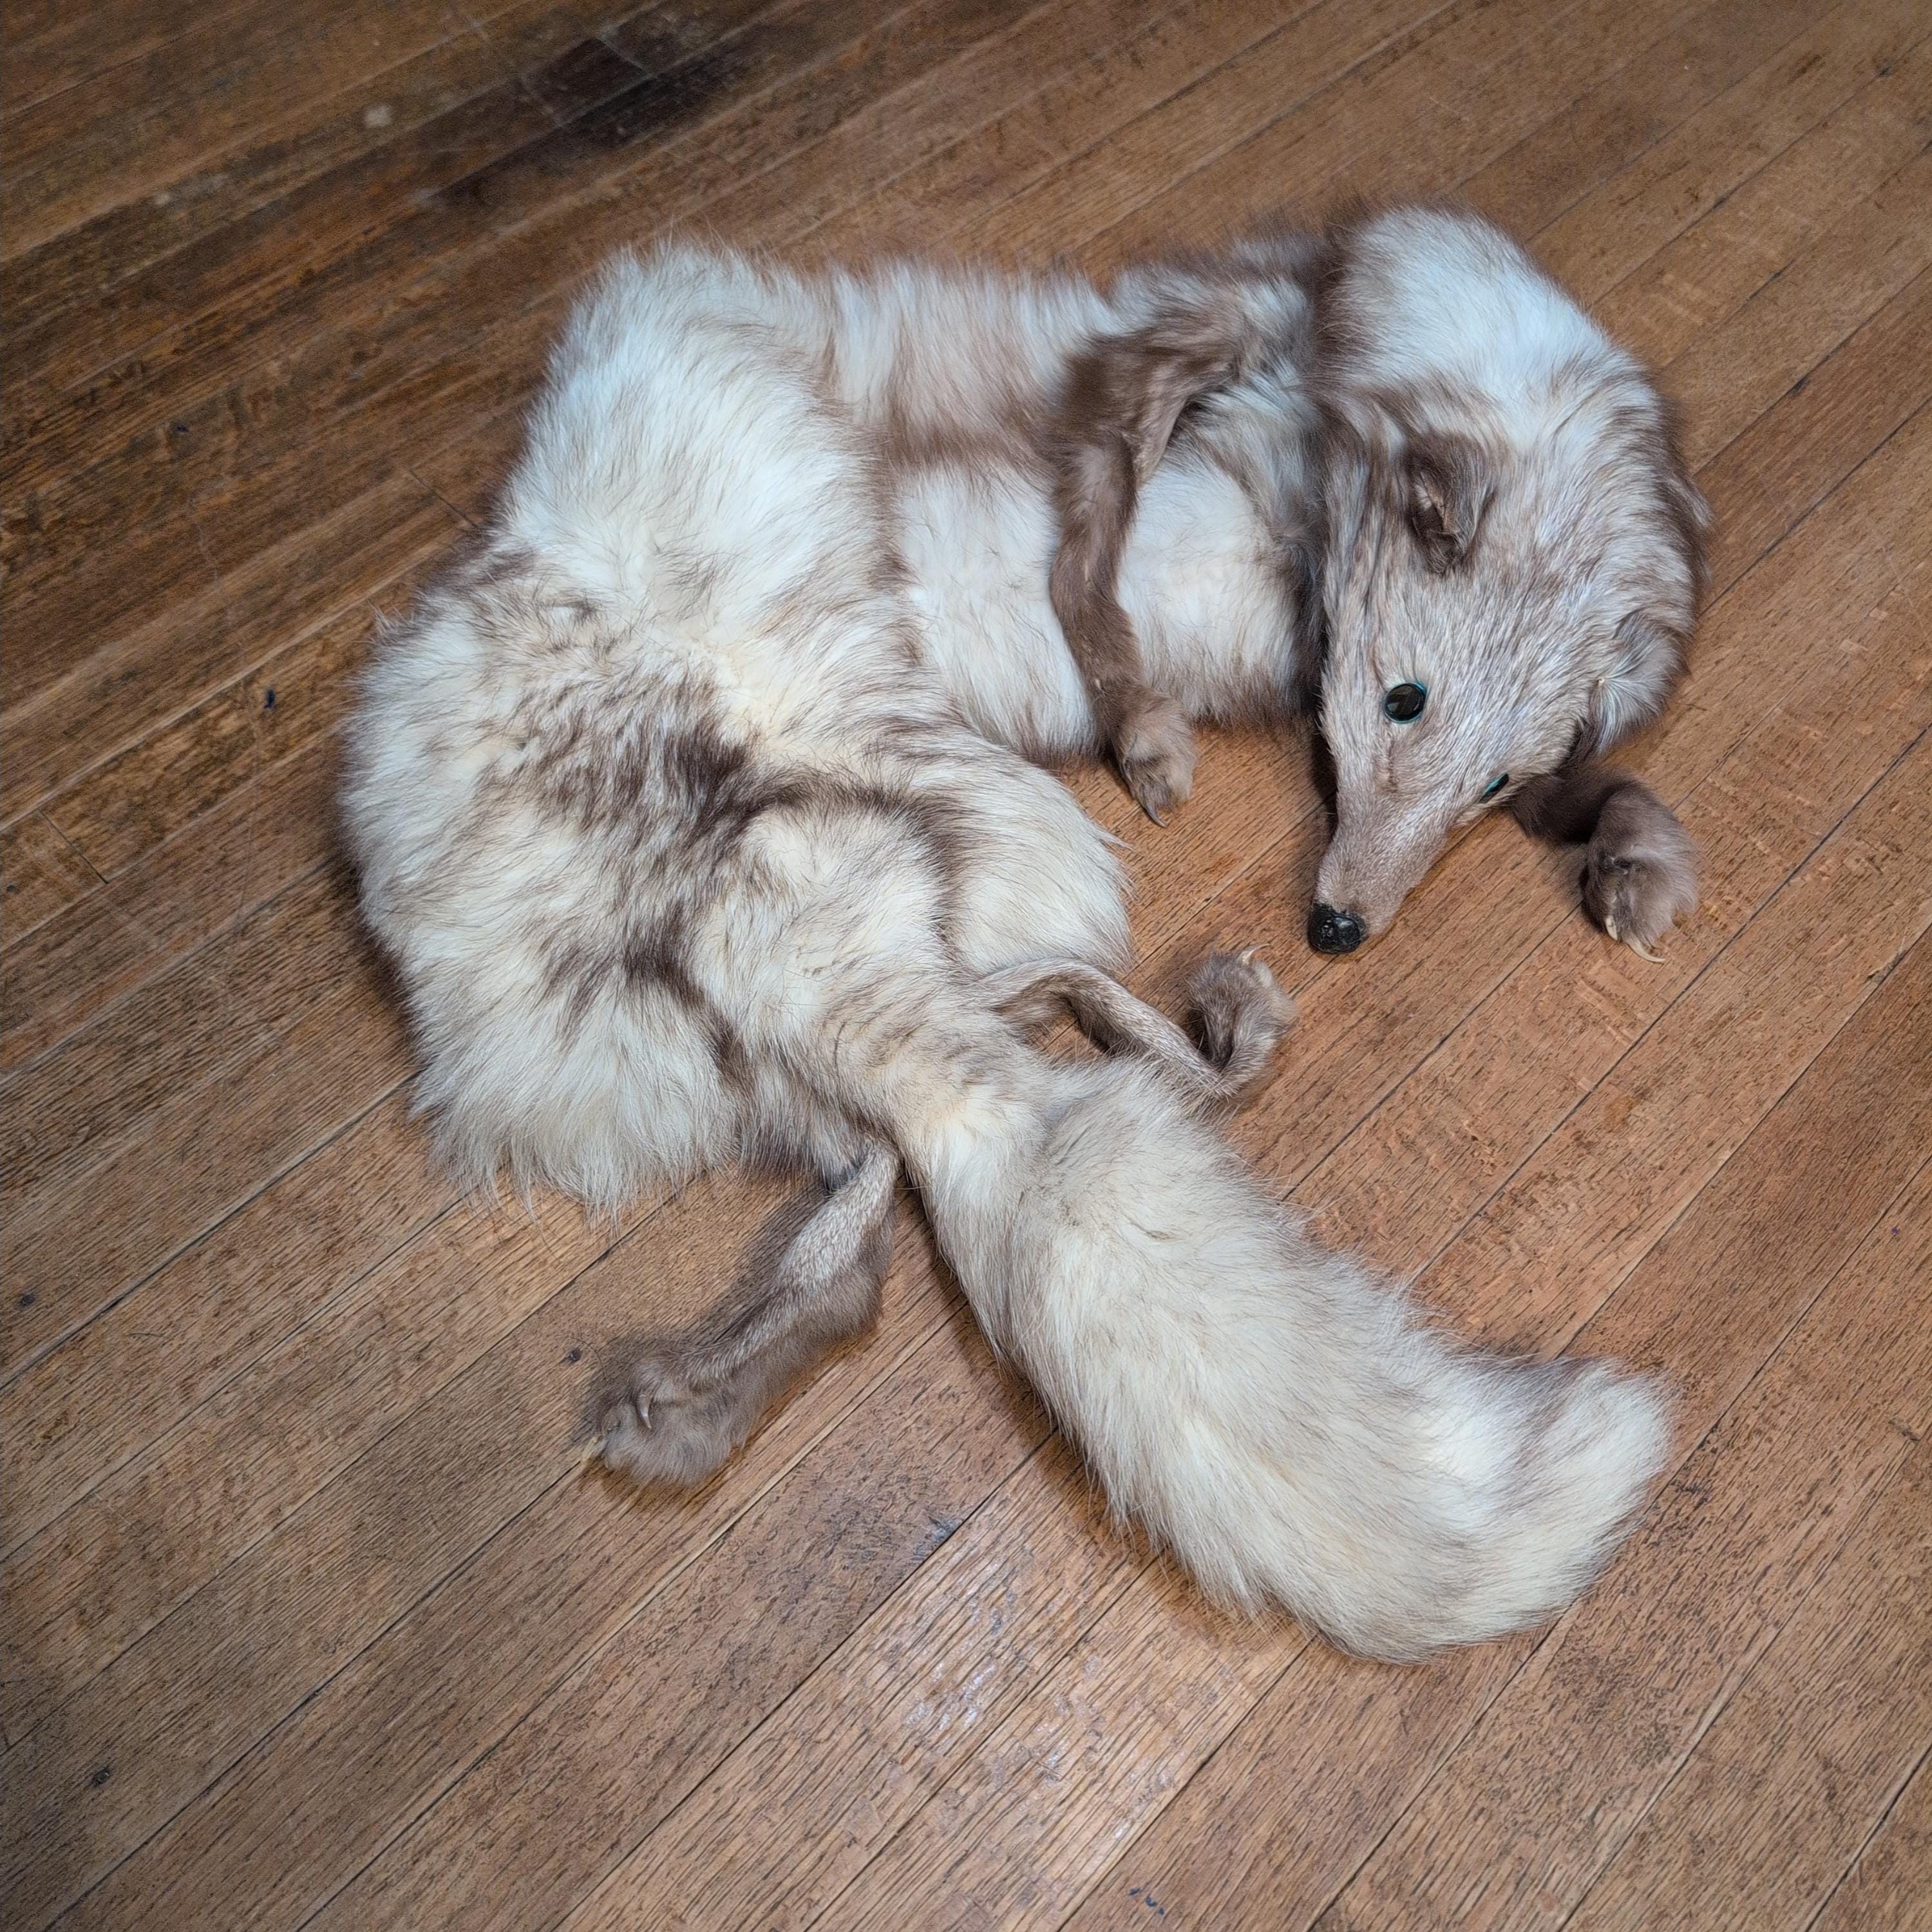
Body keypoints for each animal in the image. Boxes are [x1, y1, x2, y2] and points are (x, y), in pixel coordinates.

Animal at [343, 206, 1698, 1658]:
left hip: (922, 910)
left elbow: (1584, 789)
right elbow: (1090, 557)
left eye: (1488, 780)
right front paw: (1147, 734)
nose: (1340, 925)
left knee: (870, 1225)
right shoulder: (1168, 361)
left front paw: (1635, 866)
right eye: (1405, 699)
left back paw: (679, 1409)